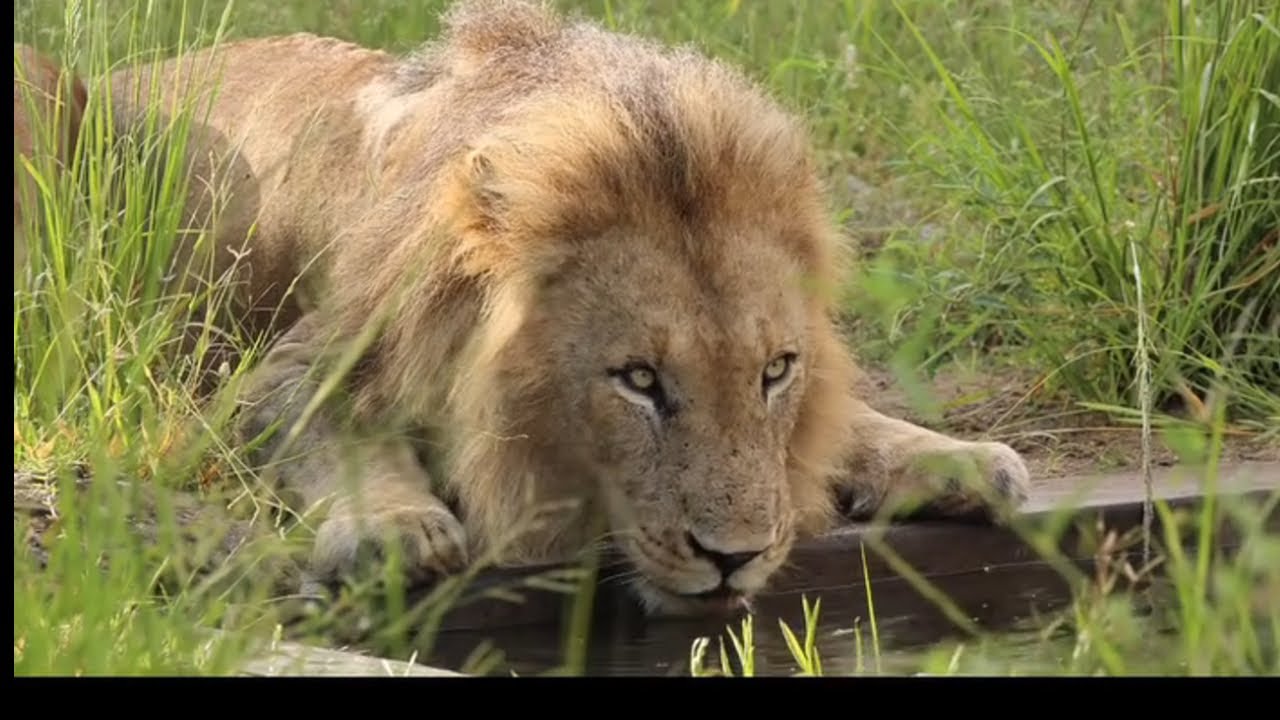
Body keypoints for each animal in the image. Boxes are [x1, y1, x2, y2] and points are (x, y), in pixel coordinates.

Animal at [105, 0, 1030, 617]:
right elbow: (330, 431)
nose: (735, 558)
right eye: (638, 381)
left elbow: (853, 419)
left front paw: (955, 459)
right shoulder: (294, 365)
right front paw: (397, 528)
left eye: (775, 372)